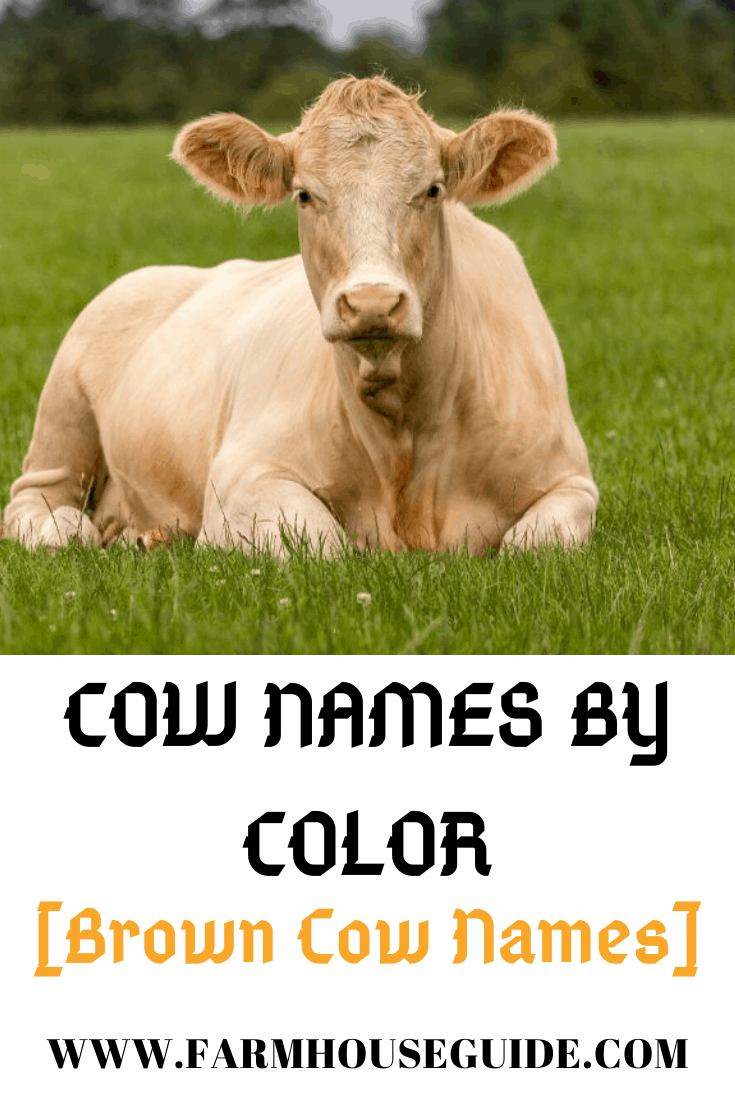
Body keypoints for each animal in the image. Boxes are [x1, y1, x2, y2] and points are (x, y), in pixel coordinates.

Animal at [4, 76, 598, 555]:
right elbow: (323, 545)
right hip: (63, 413)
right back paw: (71, 530)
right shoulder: (242, 476)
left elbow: (532, 546)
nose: (372, 302)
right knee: (33, 500)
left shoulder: (572, 482)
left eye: (432, 189)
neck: (404, 432)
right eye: (305, 195)